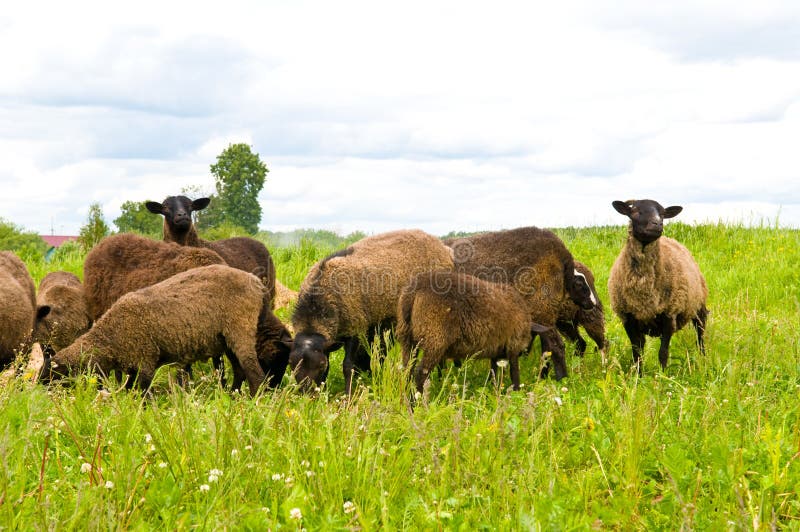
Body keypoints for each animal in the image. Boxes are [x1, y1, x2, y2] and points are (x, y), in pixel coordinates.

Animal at [39, 265, 271, 396]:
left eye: (52, 377)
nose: (40, 400)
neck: (111, 336)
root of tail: (256, 281)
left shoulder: (146, 359)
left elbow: (143, 392)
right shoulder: (132, 366)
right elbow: (132, 390)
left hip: (241, 328)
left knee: (255, 373)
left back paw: (254, 401)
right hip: (227, 338)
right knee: (240, 371)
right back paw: (233, 396)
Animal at [289, 229, 454, 394]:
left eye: (320, 365)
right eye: (291, 364)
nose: (305, 393)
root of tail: (442, 246)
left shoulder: (355, 327)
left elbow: (347, 365)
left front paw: (348, 395)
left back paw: (440, 379)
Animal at [398, 270, 550, 393]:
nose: (525, 353)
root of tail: (414, 292)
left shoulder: (496, 349)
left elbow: (494, 370)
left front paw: (492, 389)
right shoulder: (513, 345)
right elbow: (514, 372)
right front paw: (517, 392)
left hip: (407, 338)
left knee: (407, 370)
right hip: (435, 338)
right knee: (420, 373)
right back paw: (417, 402)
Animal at [444, 227, 596, 380]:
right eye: (579, 284)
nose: (592, 303)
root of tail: (563, 253)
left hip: (542, 308)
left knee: (556, 346)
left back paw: (558, 379)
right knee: (550, 348)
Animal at [607, 199, 708, 374]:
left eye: (662, 213)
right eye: (635, 211)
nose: (657, 224)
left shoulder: (669, 314)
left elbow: (663, 352)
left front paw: (662, 376)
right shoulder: (628, 318)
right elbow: (637, 352)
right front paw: (638, 376)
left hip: (698, 305)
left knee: (700, 333)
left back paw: (702, 359)